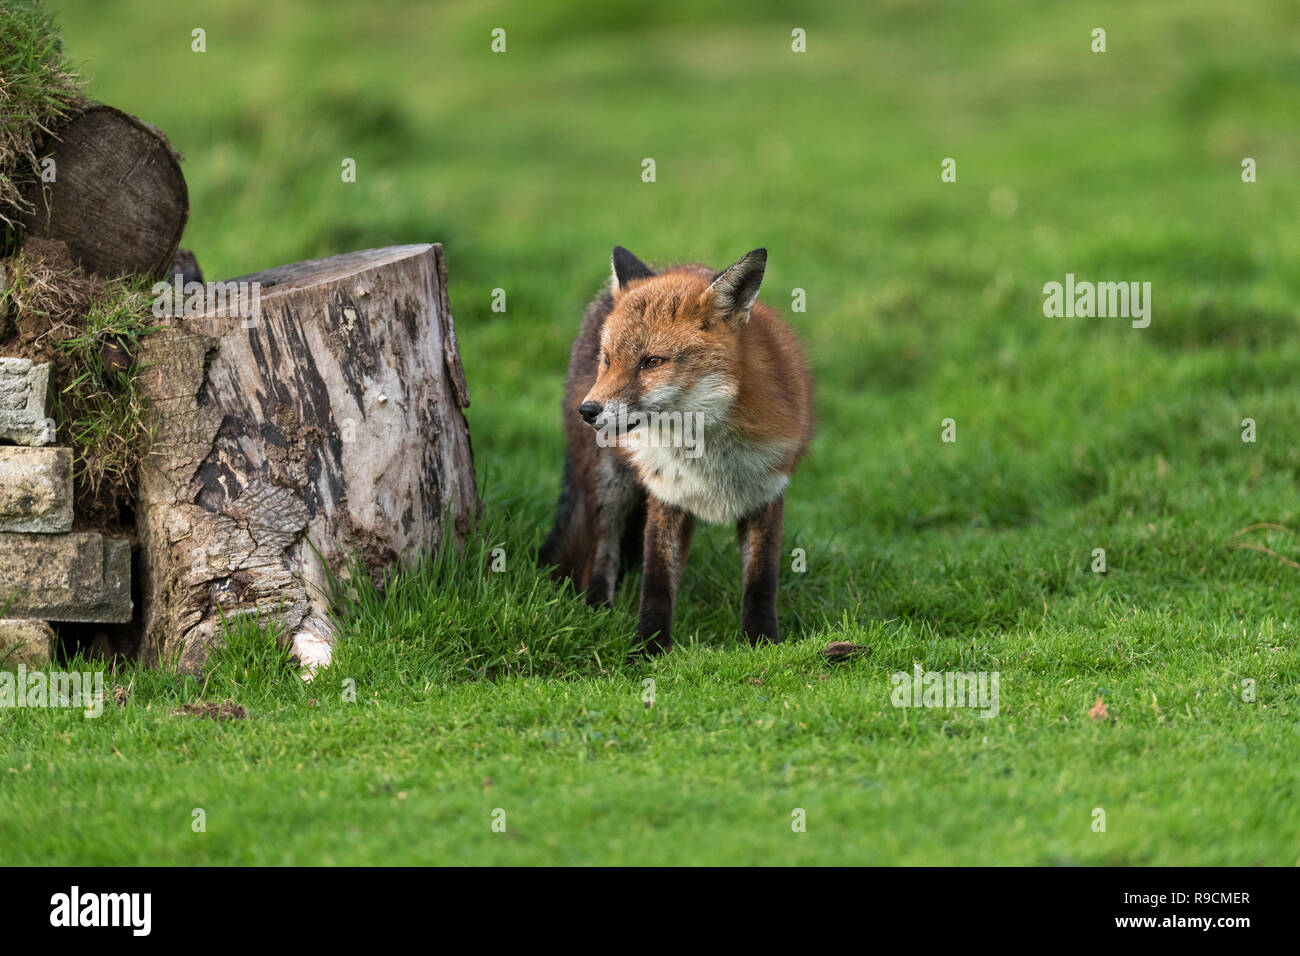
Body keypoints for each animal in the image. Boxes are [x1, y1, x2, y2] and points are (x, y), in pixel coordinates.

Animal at [540, 246, 814, 654]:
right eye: (608, 361)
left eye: (652, 362)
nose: (588, 411)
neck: (707, 455)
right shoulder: (665, 494)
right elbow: (655, 581)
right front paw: (648, 649)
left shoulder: (767, 492)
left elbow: (761, 581)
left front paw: (761, 643)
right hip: (612, 483)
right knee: (602, 549)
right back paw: (598, 608)